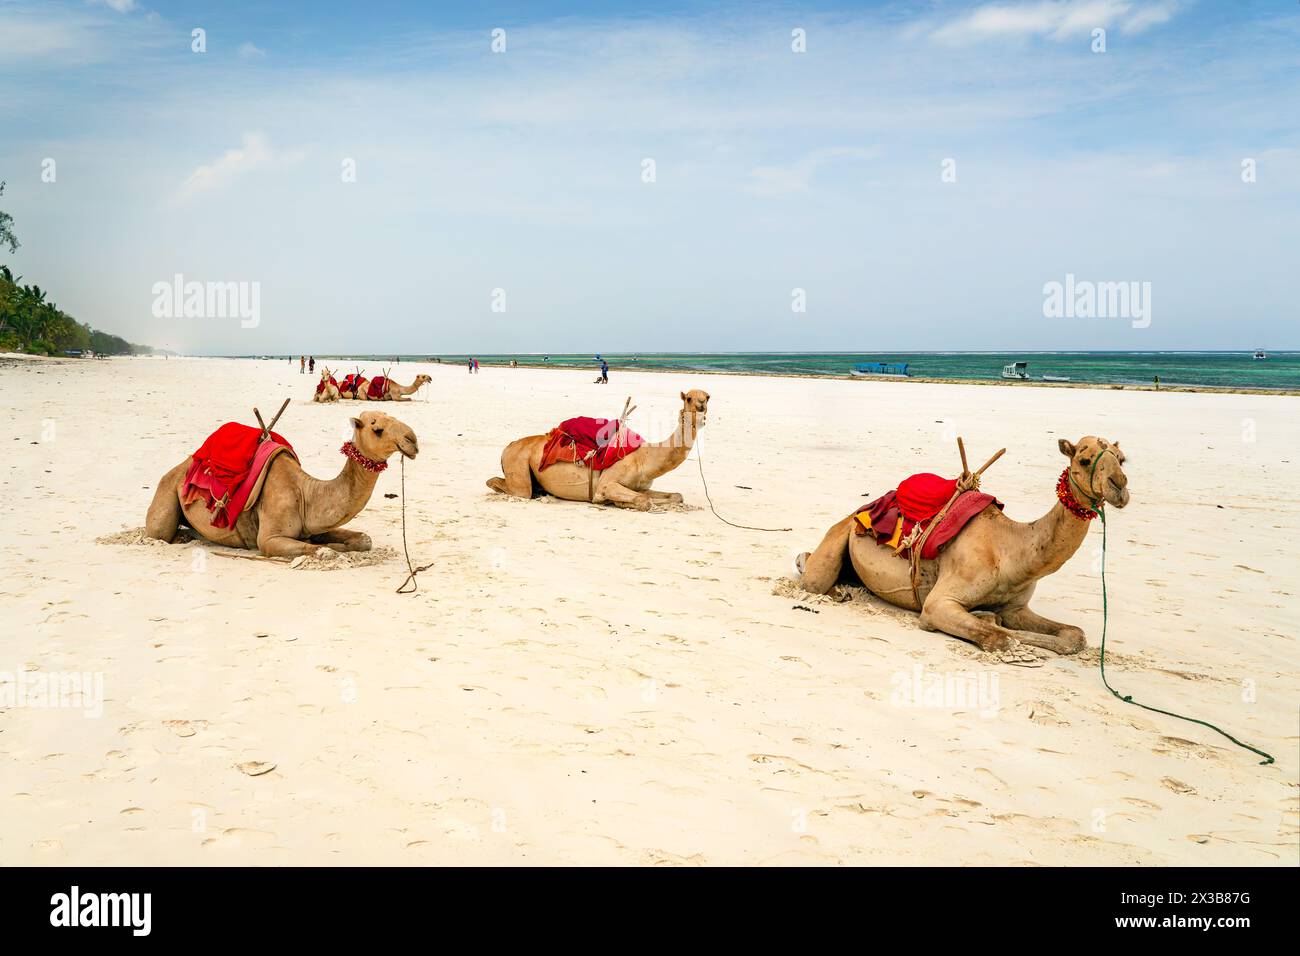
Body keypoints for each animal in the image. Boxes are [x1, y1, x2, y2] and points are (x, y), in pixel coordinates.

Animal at [145, 410, 418, 558]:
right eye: (378, 429)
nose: (412, 440)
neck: (307, 493)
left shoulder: (313, 524)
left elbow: (364, 539)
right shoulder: (269, 538)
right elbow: (322, 551)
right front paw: (329, 548)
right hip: (167, 489)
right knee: (158, 531)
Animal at [486, 390, 709, 510]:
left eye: (707, 396)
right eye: (688, 398)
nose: (701, 406)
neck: (645, 457)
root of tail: (508, 447)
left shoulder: (641, 485)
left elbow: (676, 496)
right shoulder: (606, 484)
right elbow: (643, 500)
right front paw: (618, 503)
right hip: (517, 463)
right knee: (508, 486)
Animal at [795, 436, 1130, 656]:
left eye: (1122, 458)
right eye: (1084, 460)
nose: (1120, 486)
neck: (1010, 550)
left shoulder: (1016, 607)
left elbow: (1075, 635)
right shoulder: (938, 603)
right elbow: (1002, 637)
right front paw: (989, 620)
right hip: (839, 537)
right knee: (813, 577)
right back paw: (837, 591)